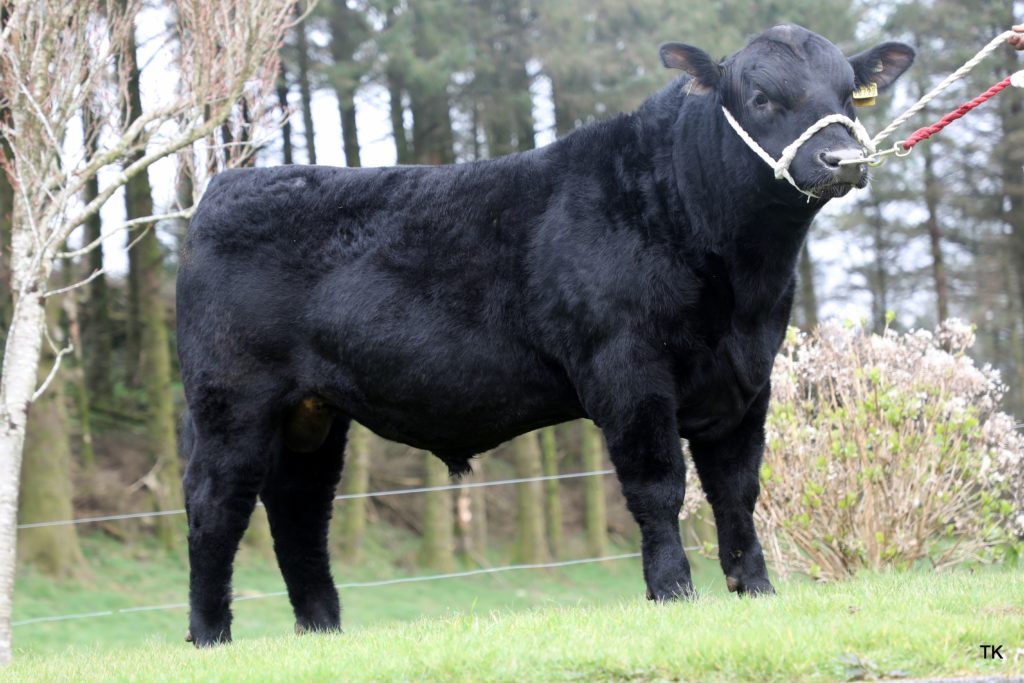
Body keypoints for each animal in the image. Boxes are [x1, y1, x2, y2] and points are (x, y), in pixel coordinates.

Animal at [176, 24, 914, 646]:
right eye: (761, 96)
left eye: (847, 94)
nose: (843, 158)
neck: (741, 280)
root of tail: (226, 186)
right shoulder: (628, 368)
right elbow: (658, 484)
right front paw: (673, 591)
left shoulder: (747, 377)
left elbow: (736, 488)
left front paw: (755, 588)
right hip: (229, 400)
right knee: (215, 504)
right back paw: (210, 636)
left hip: (313, 413)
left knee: (299, 511)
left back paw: (323, 632)